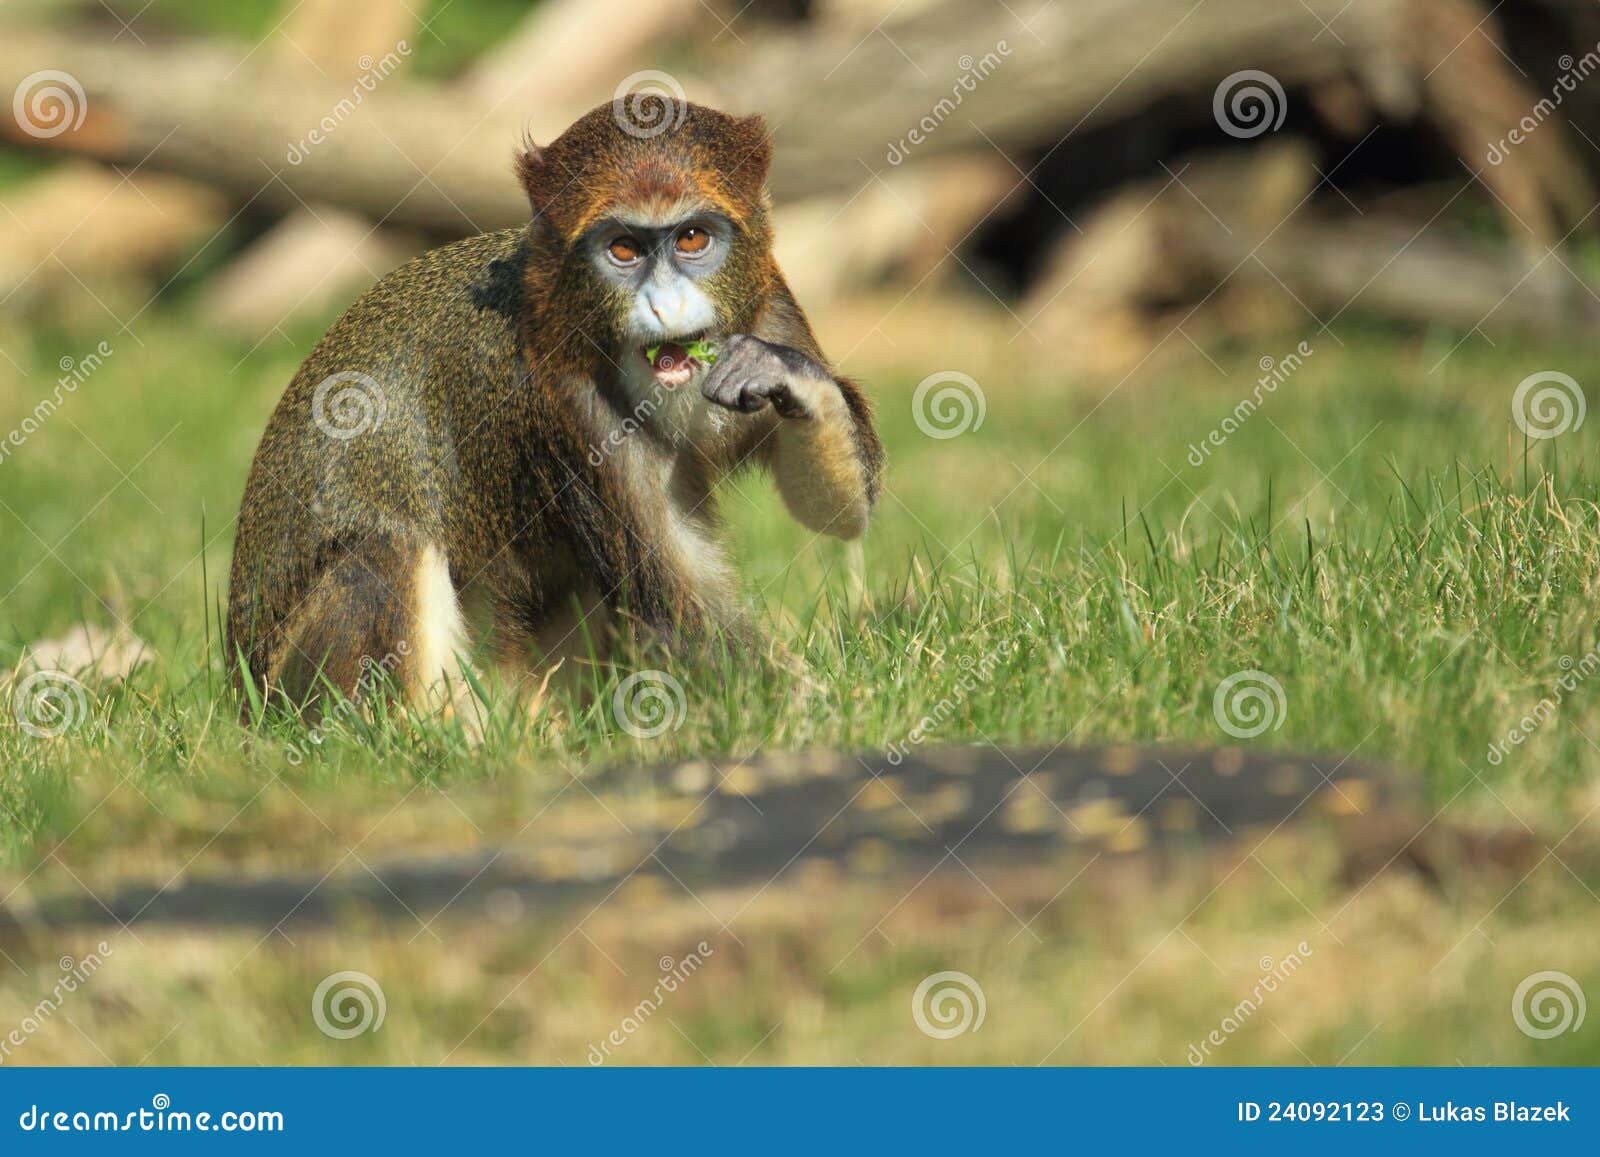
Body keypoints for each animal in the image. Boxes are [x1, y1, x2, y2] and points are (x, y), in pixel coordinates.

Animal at [225, 101, 883, 719]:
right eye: (624, 249)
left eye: (692, 238)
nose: (666, 305)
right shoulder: (569, 407)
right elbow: (680, 606)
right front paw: (827, 708)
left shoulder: (771, 305)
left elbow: (837, 513)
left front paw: (792, 382)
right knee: (382, 554)